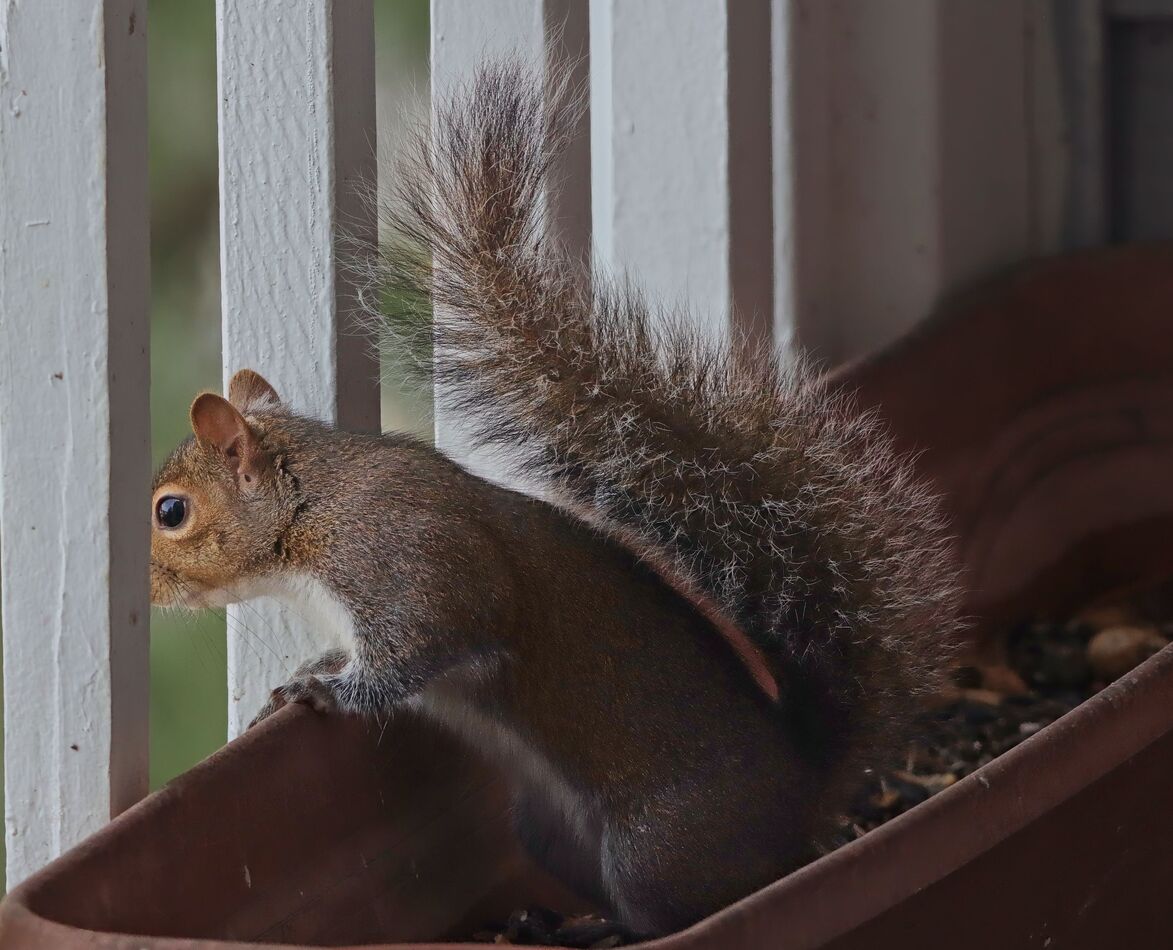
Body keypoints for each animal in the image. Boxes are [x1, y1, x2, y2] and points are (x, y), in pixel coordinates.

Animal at [148, 61, 961, 935]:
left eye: (171, 512)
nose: (139, 588)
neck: (309, 515)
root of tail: (804, 786)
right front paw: (312, 668)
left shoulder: (402, 560)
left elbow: (423, 644)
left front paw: (324, 690)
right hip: (546, 827)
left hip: (656, 847)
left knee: (686, 903)